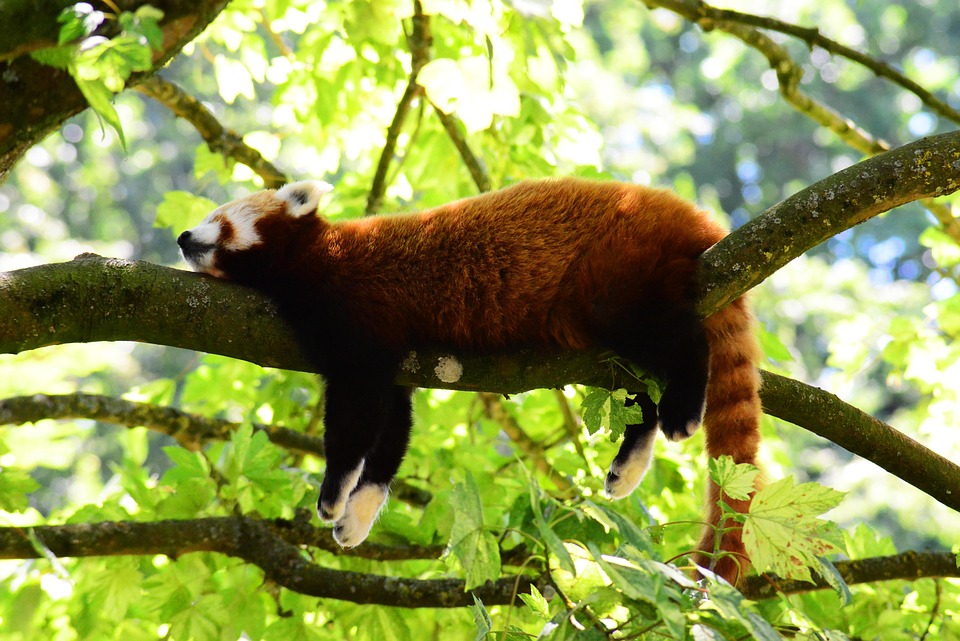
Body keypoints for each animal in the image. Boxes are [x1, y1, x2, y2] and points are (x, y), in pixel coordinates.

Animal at [177, 177, 762, 584]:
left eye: (218, 218)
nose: (183, 236)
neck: (312, 260)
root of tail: (684, 212)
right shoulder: (395, 362)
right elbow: (392, 431)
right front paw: (360, 514)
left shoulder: (358, 319)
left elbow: (355, 418)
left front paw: (333, 493)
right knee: (636, 388)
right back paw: (631, 461)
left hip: (617, 268)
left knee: (679, 340)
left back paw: (684, 406)